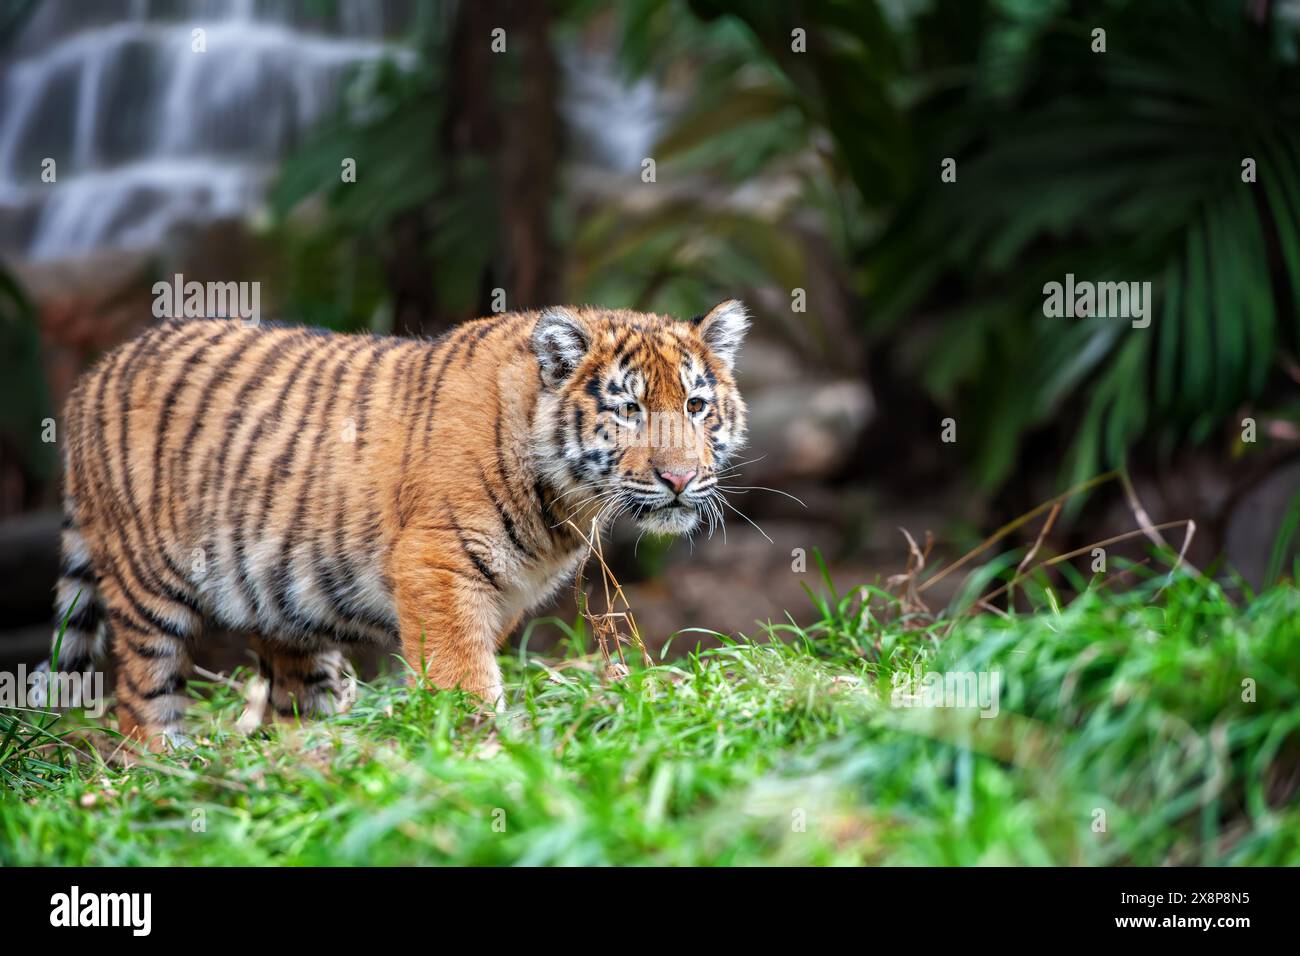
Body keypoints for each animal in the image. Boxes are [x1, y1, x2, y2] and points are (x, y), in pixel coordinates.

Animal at [32, 300, 750, 749]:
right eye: (628, 410)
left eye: (696, 405)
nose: (680, 479)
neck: (565, 502)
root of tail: (95, 373)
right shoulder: (437, 564)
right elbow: (462, 671)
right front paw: (481, 751)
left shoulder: (503, 593)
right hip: (148, 589)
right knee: (140, 702)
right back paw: (164, 770)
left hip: (280, 603)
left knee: (291, 696)